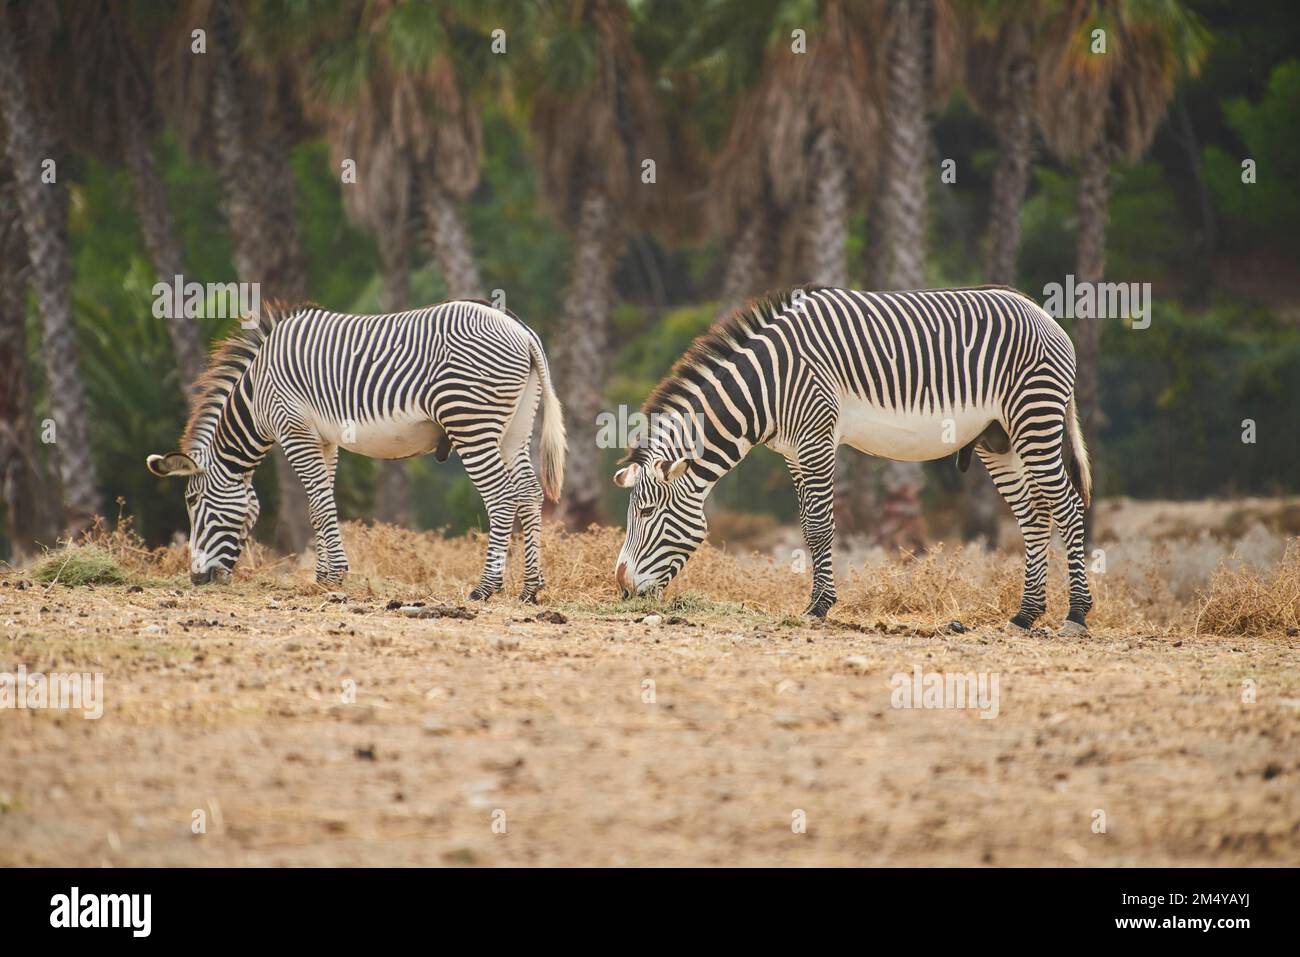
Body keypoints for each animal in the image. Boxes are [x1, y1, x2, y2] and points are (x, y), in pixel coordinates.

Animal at [147, 299, 567, 601]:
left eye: (193, 500)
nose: (197, 579)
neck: (256, 392)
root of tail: (520, 330)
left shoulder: (294, 430)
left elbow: (318, 504)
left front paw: (333, 577)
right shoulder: (324, 439)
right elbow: (319, 506)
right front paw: (322, 576)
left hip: (469, 422)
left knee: (501, 498)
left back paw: (486, 587)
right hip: (514, 427)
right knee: (529, 493)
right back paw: (531, 587)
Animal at [613, 286, 1094, 636]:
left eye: (647, 511)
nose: (621, 587)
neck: (765, 386)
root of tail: (1045, 315)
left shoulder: (815, 437)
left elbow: (821, 526)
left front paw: (819, 607)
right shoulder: (793, 451)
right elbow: (807, 527)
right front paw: (815, 601)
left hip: (1034, 416)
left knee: (1068, 507)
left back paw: (1076, 615)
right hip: (999, 438)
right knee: (1034, 516)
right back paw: (1025, 615)